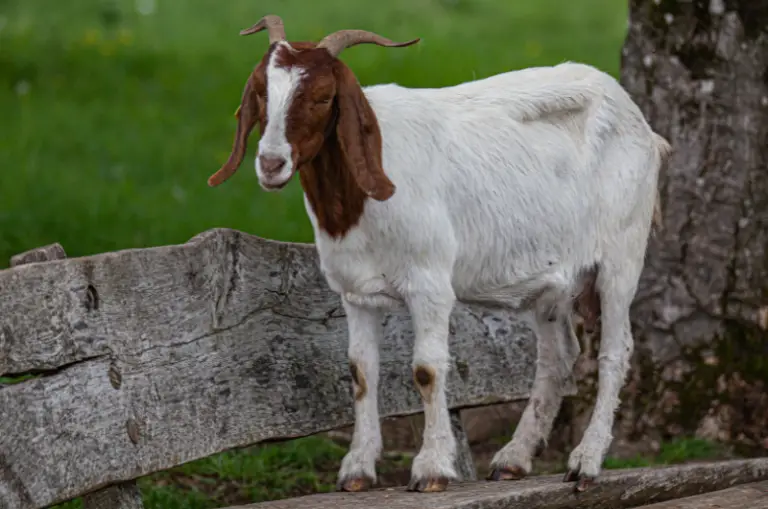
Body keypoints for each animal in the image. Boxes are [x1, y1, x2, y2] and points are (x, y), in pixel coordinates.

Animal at [207, 14, 671, 494]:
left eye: (322, 96)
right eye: (262, 92)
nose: (271, 163)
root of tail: (645, 128)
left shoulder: (428, 284)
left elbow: (426, 370)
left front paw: (431, 468)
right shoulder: (355, 292)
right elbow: (360, 372)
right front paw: (357, 469)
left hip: (621, 256)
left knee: (615, 352)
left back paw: (586, 461)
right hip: (552, 281)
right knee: (558, 355)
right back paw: (514, 458)